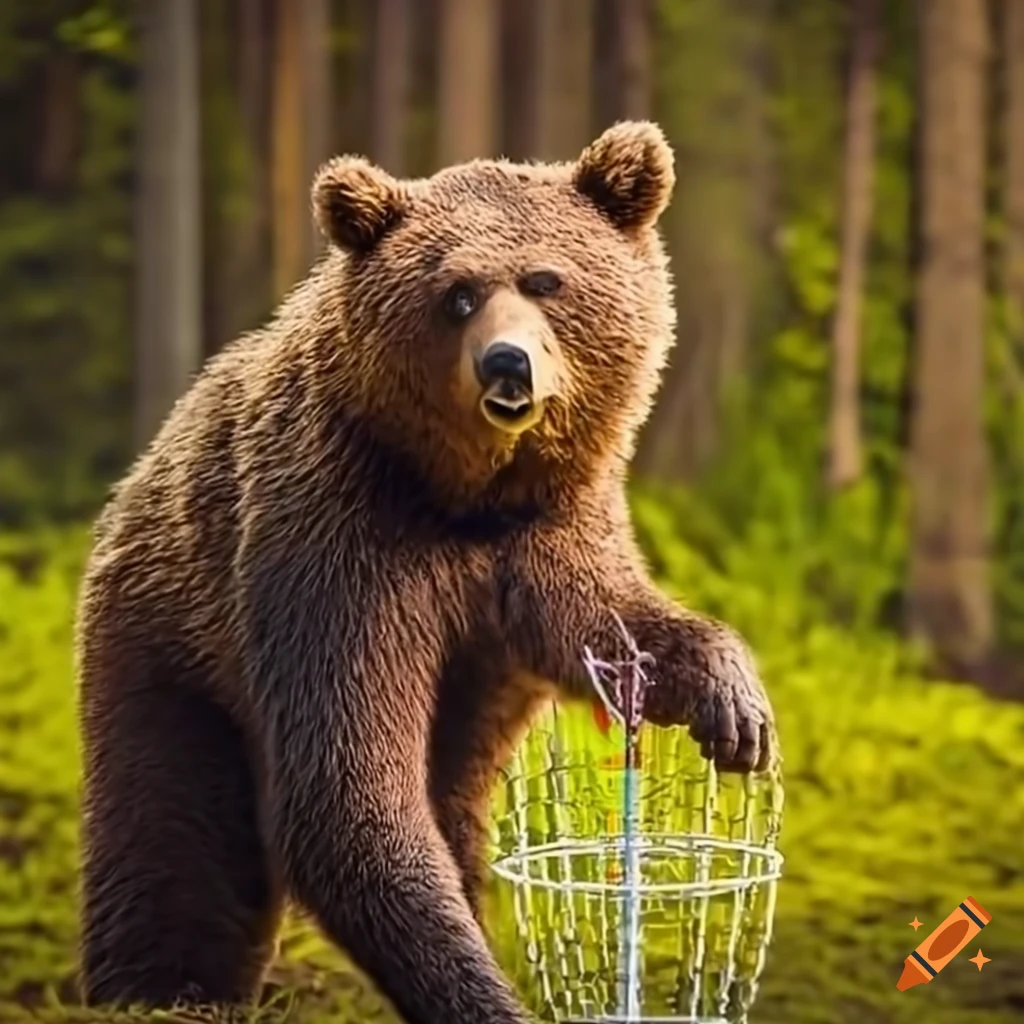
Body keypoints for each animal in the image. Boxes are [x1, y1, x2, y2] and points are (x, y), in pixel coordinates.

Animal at [74, 120, 776, 1024]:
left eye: (545, 280)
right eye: (458, 294)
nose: (508, 364)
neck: (457, 493)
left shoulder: (547, 530)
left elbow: (612, 622)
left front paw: (733, 706)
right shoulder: (337, 542)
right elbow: (346, 790)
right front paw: (481, 989)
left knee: (451, 807)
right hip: (169, 631)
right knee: (175, 829)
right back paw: (164, 988)